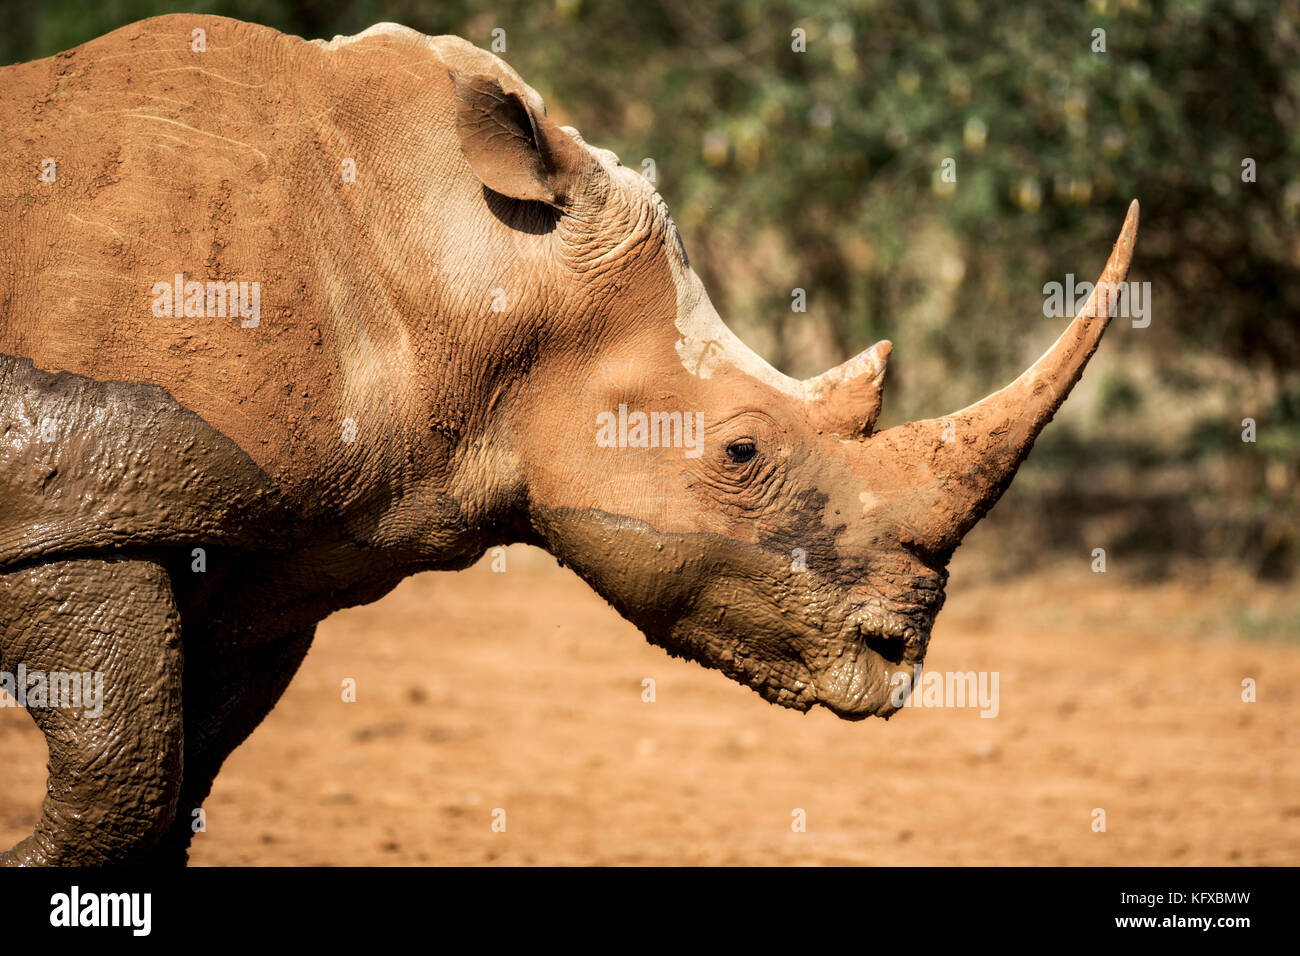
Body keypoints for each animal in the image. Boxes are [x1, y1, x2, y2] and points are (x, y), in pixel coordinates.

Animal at [0, 15, 1138, 865]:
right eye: (740, 453)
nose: (899, 657)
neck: (462, 256)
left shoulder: (270, 548)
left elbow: (169, 786)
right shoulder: (68, 509)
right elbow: (123, 771)